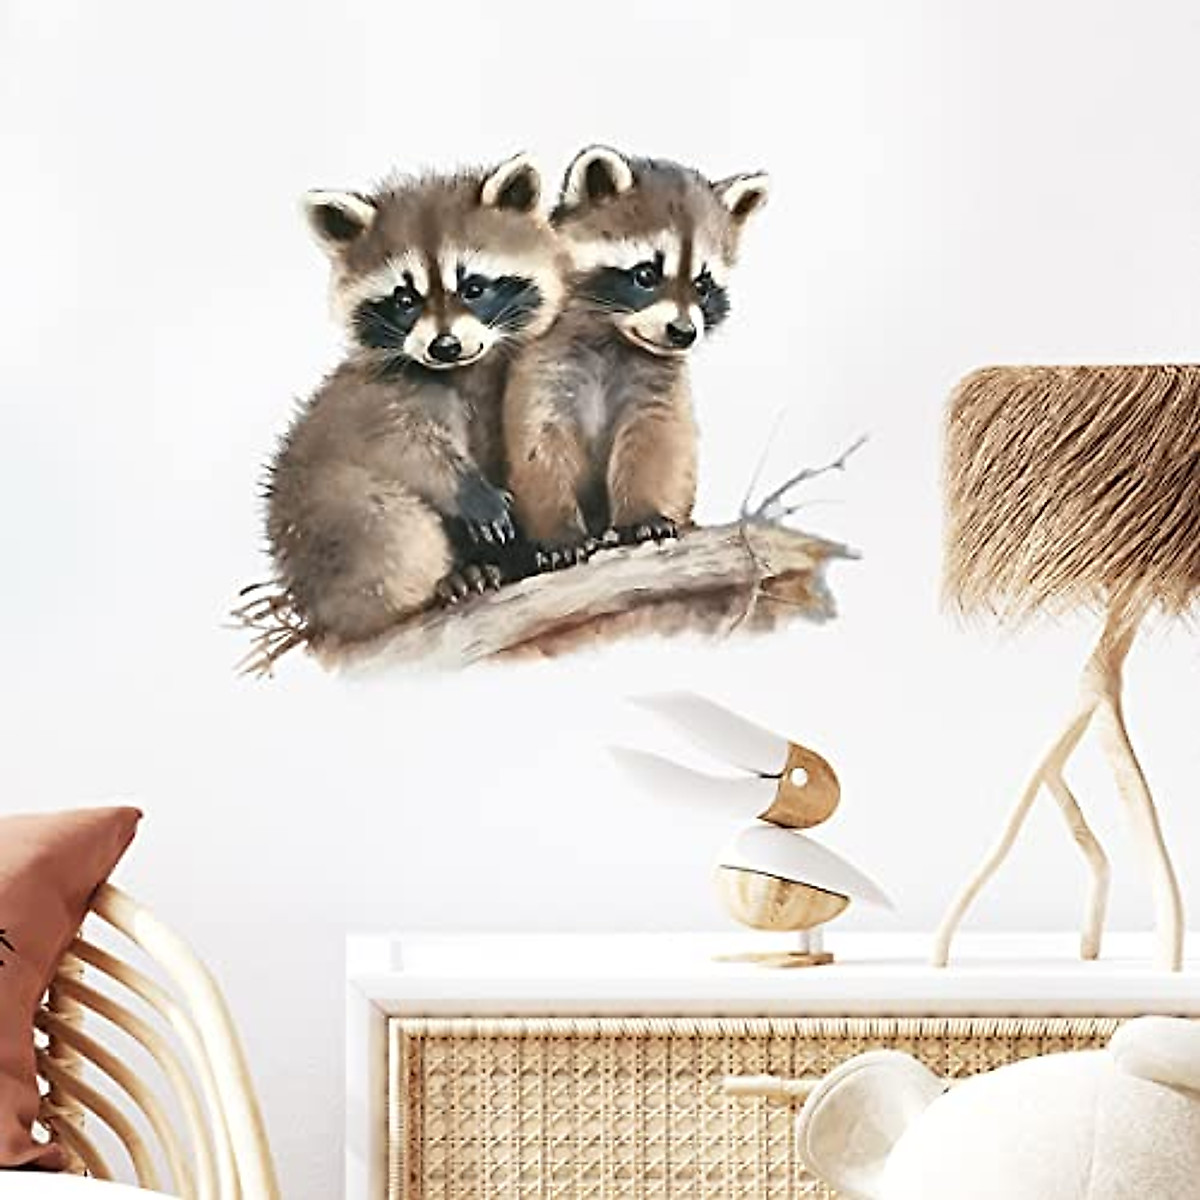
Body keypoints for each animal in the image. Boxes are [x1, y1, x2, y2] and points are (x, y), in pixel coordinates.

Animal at [265, 154, 566, 643]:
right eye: (405, 299)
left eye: (474, 288)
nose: (444, 346)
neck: (461, 370)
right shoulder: (376, 401)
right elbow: (403, 446)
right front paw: (465, 488)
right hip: (324, 522)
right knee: (389, 527)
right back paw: (436, 587)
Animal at [503, 146, 769, 567]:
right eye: (646, 275)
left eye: (702, 285)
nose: (683, 333)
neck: (612, 336)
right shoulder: (542, 365)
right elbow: (537, 446)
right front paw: (558, 530)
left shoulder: (659, 384)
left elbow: (656, 440)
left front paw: (641, 514)